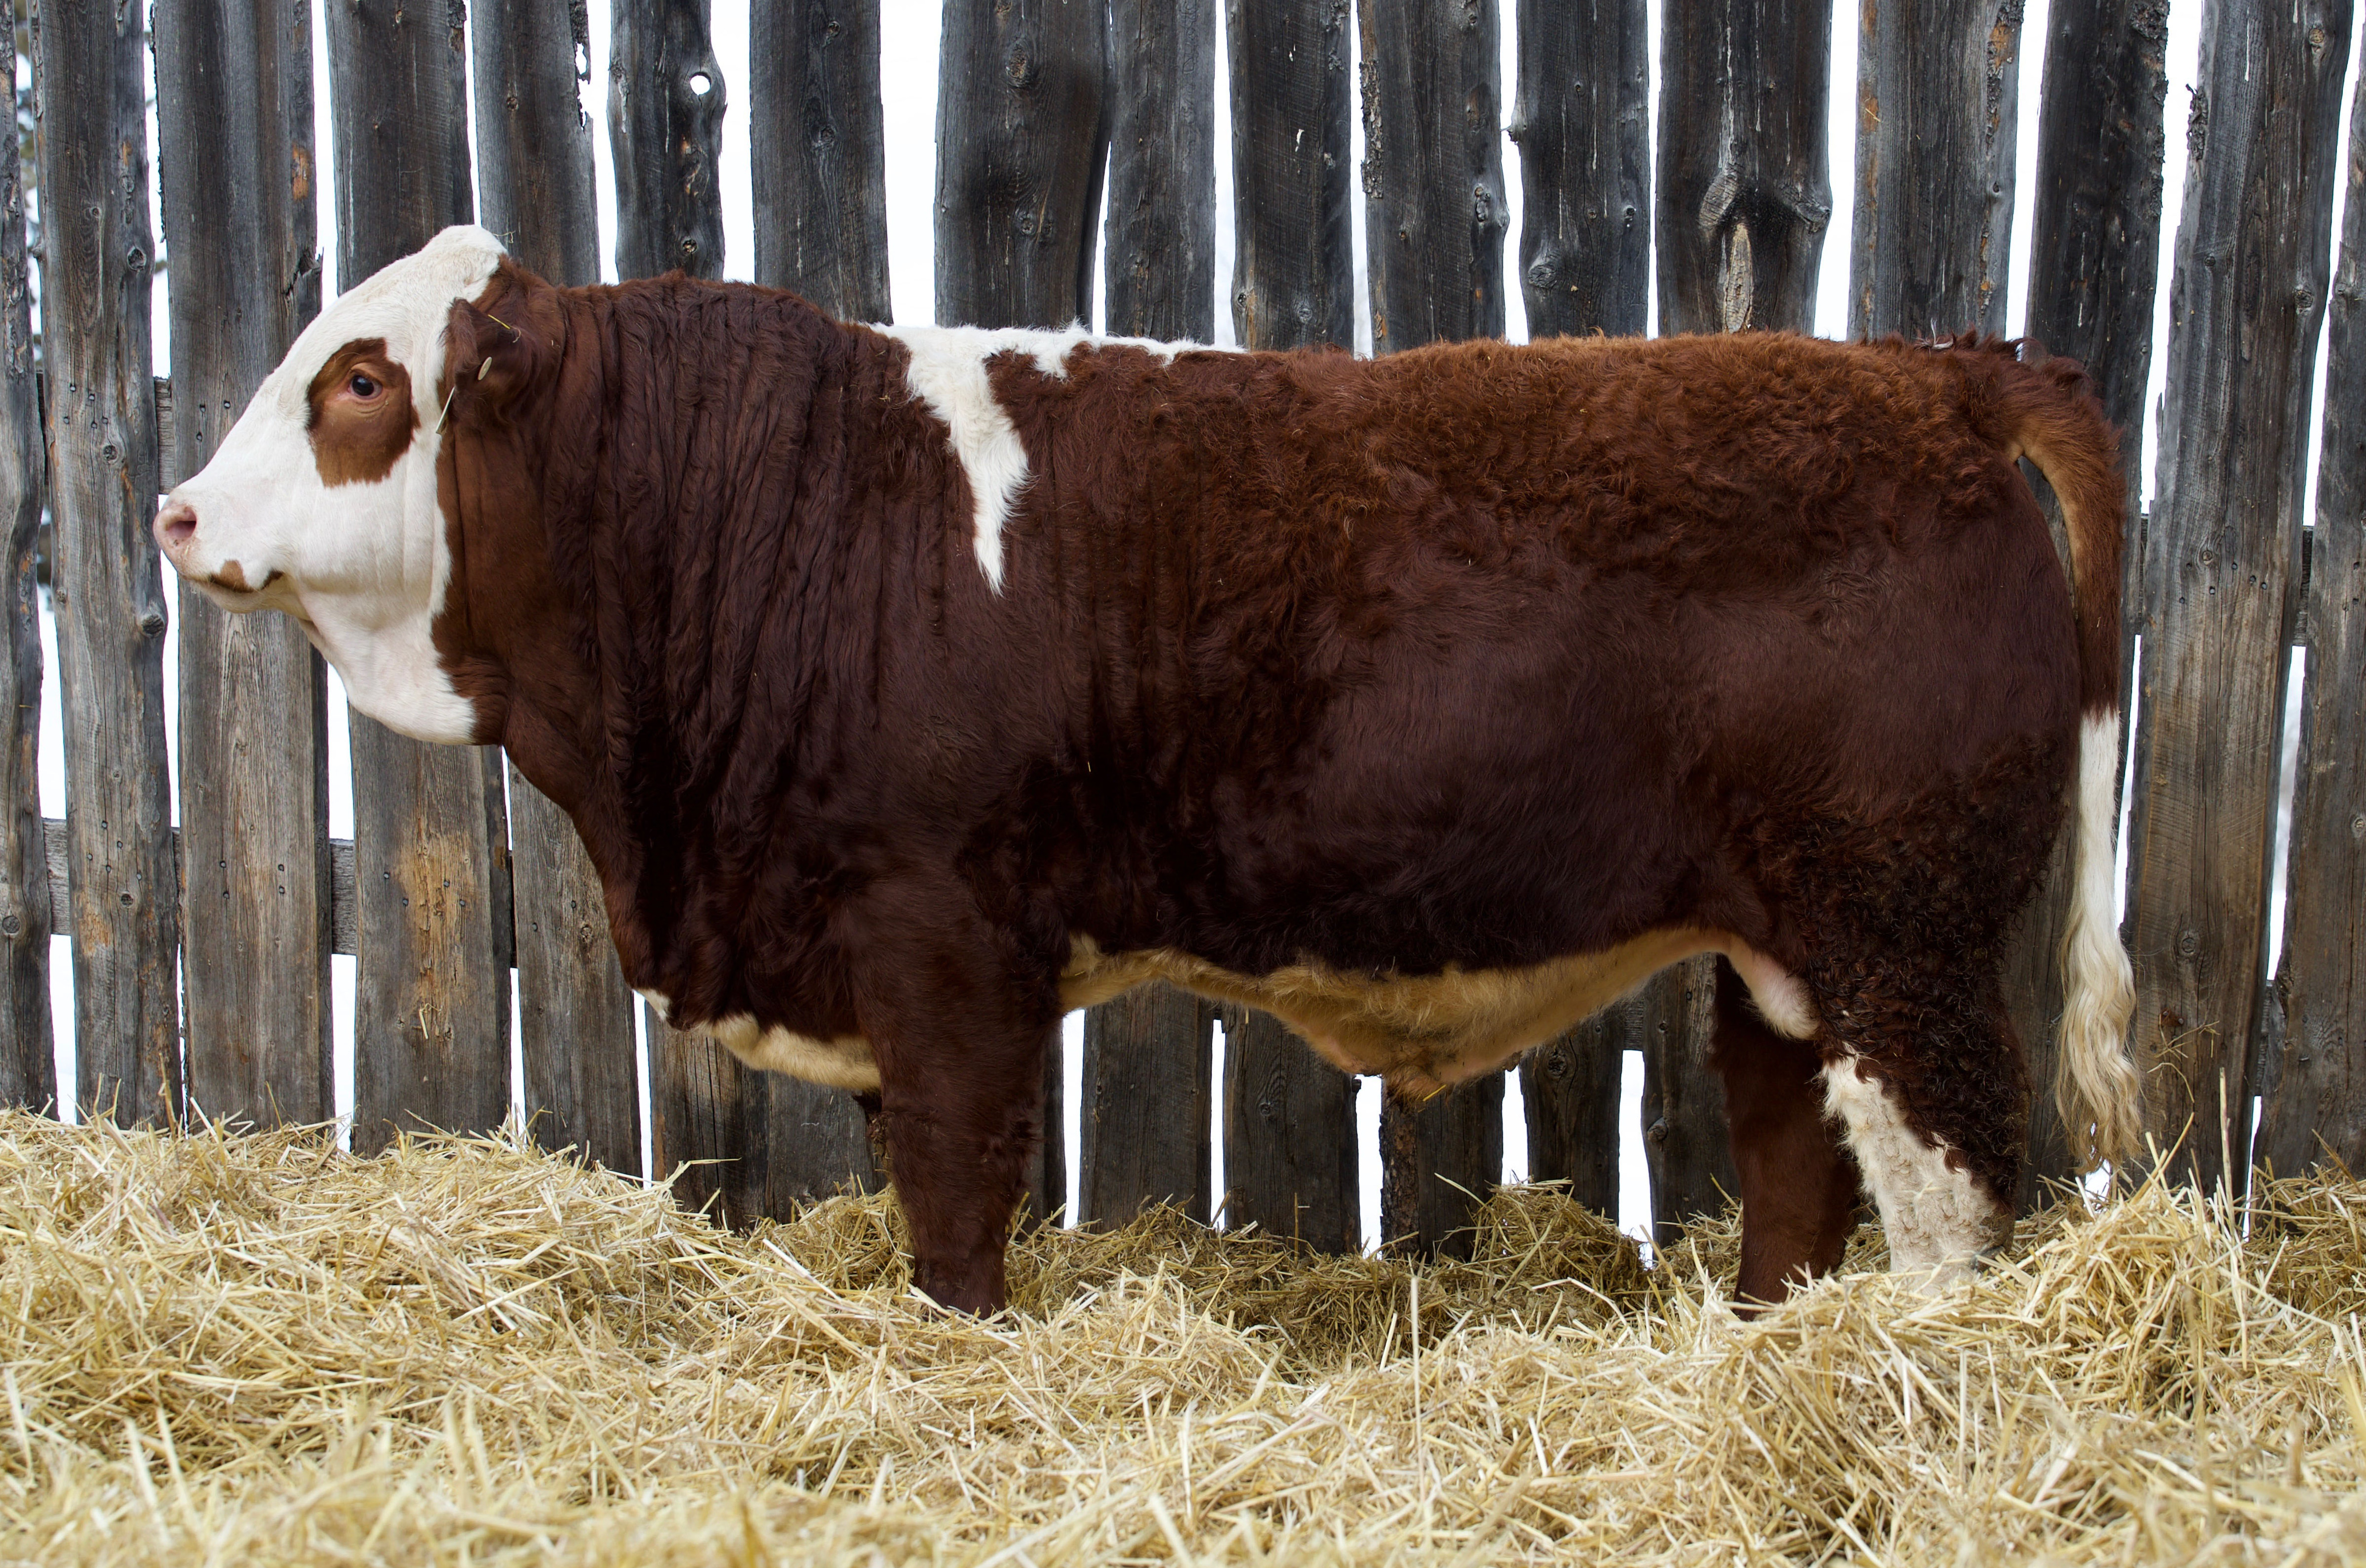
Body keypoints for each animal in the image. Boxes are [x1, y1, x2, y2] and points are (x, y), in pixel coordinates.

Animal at [155, 225, 2142, 1314]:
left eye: (358, 380)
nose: (172, 511)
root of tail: (1933, 374)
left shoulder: (946, 936)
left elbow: (959, 1190)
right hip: (1784, 946)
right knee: (1795, 1159)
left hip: (1902, 934)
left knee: (1953, 1178)